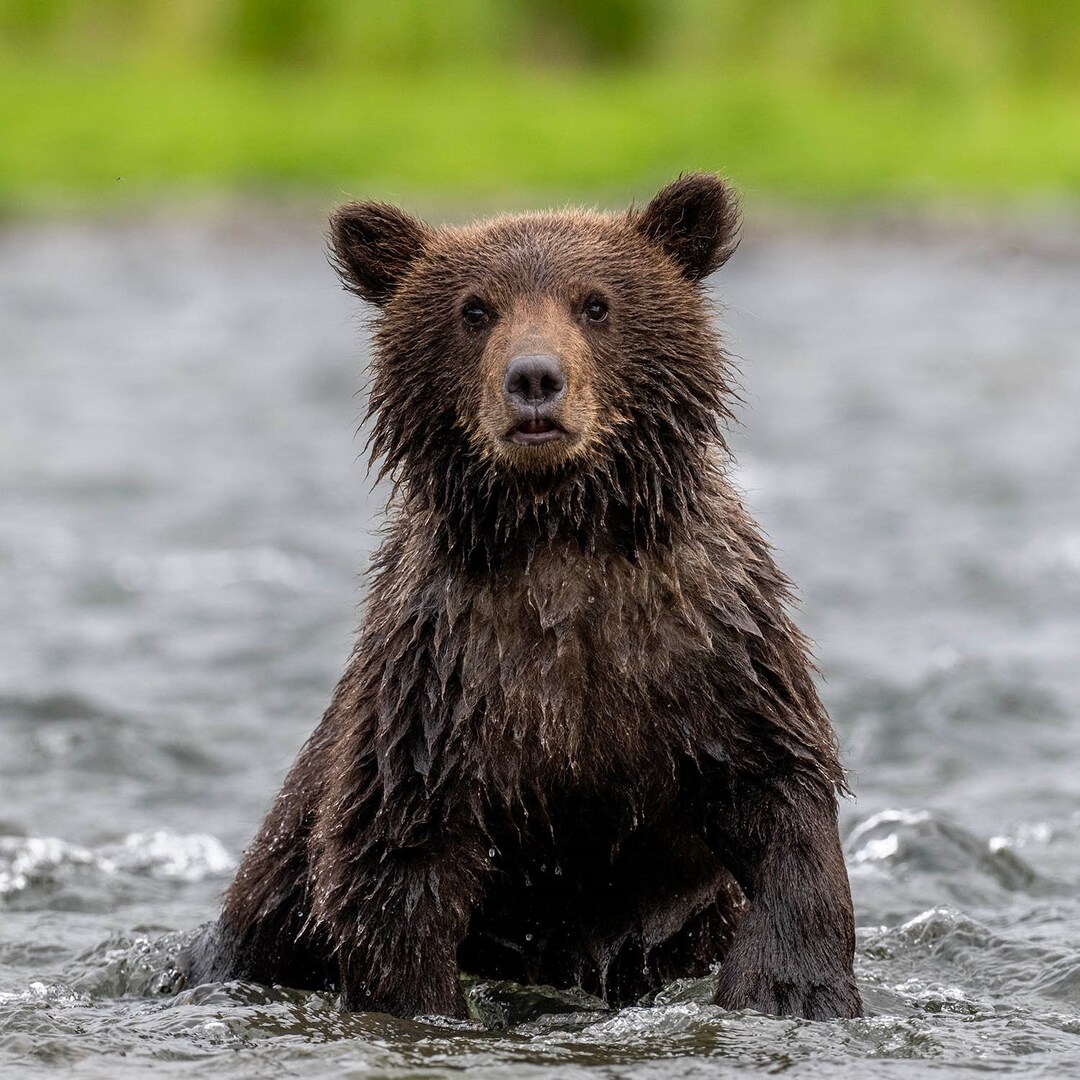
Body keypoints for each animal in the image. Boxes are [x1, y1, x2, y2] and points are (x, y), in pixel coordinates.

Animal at [181, 174, 862, 1022]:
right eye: (475, 309)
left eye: (595, 302)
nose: (534, 378)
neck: (560, 539)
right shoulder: (440, 692)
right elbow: (394, 873)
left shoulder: (711, 650)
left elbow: (779, 801)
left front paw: (791, 988)